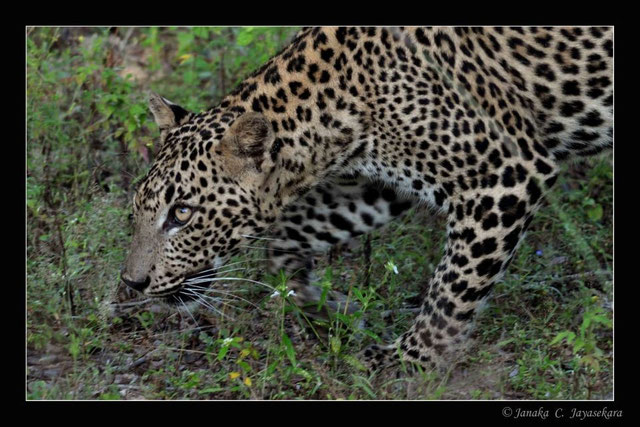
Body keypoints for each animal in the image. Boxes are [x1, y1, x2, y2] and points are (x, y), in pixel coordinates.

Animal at [122, 26, 613, 373]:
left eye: (182, 214)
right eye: (139, 207)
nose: (132, 283)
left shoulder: (506, 175)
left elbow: (452, 290)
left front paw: (410, 364)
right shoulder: (382, 185)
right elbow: (291, 237)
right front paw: (322, 310)